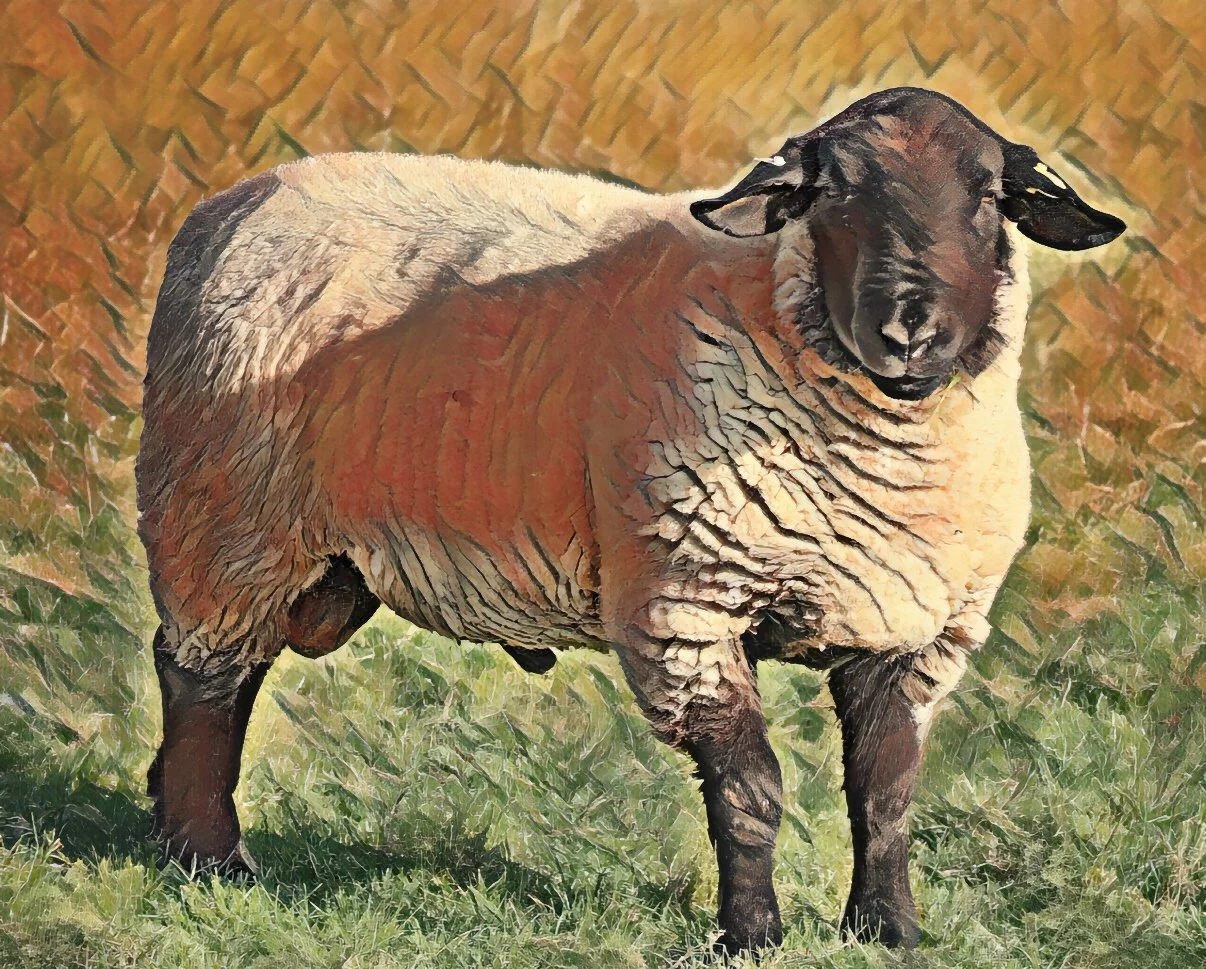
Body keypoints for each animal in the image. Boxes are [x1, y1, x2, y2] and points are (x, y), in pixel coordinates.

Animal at [137, 87, 1125, 955]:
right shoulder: (686, 607)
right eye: (831, 190)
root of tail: (232, 202)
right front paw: (752, 937)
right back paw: (210, 860)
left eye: (990, 195)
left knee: (231, 676)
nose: (910, 327)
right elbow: (752, 791)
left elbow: (884, 796)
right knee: (203, 685)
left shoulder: (911, 630)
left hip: (283, 548)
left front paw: (887, 931)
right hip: (223, 520)